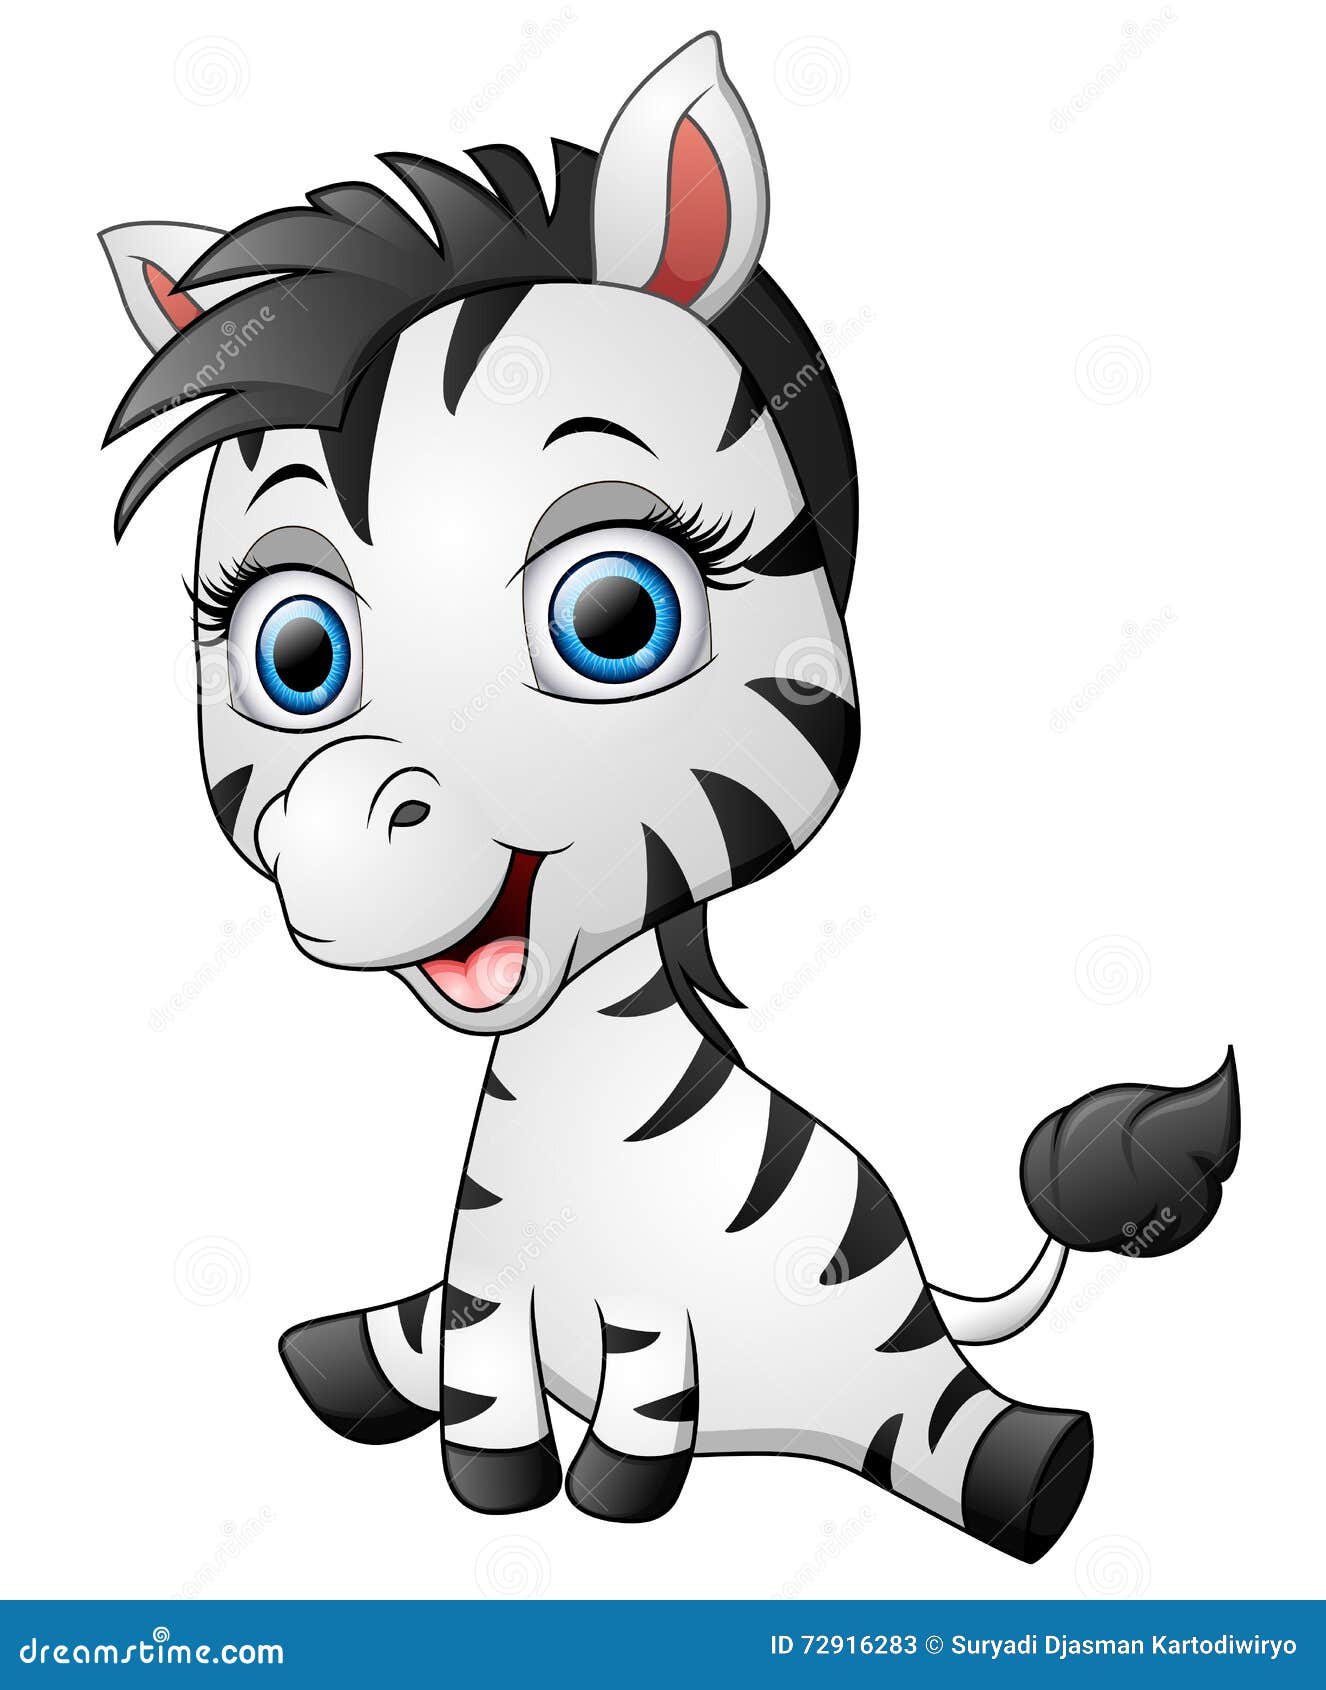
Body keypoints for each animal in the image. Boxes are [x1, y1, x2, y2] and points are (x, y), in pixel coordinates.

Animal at [100, 33, 1240, 1562]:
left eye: (614, 617)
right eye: (296, 654)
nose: (348, 815)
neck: (568, 1111)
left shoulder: (651, 1319)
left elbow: (637, 1407)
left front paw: (608, 1501)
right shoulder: (486, 1303)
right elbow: (477, 1391)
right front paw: (491, 1485)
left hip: (884, 1357)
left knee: (953, 1428)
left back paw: (1035, 1466)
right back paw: (333, 1357)